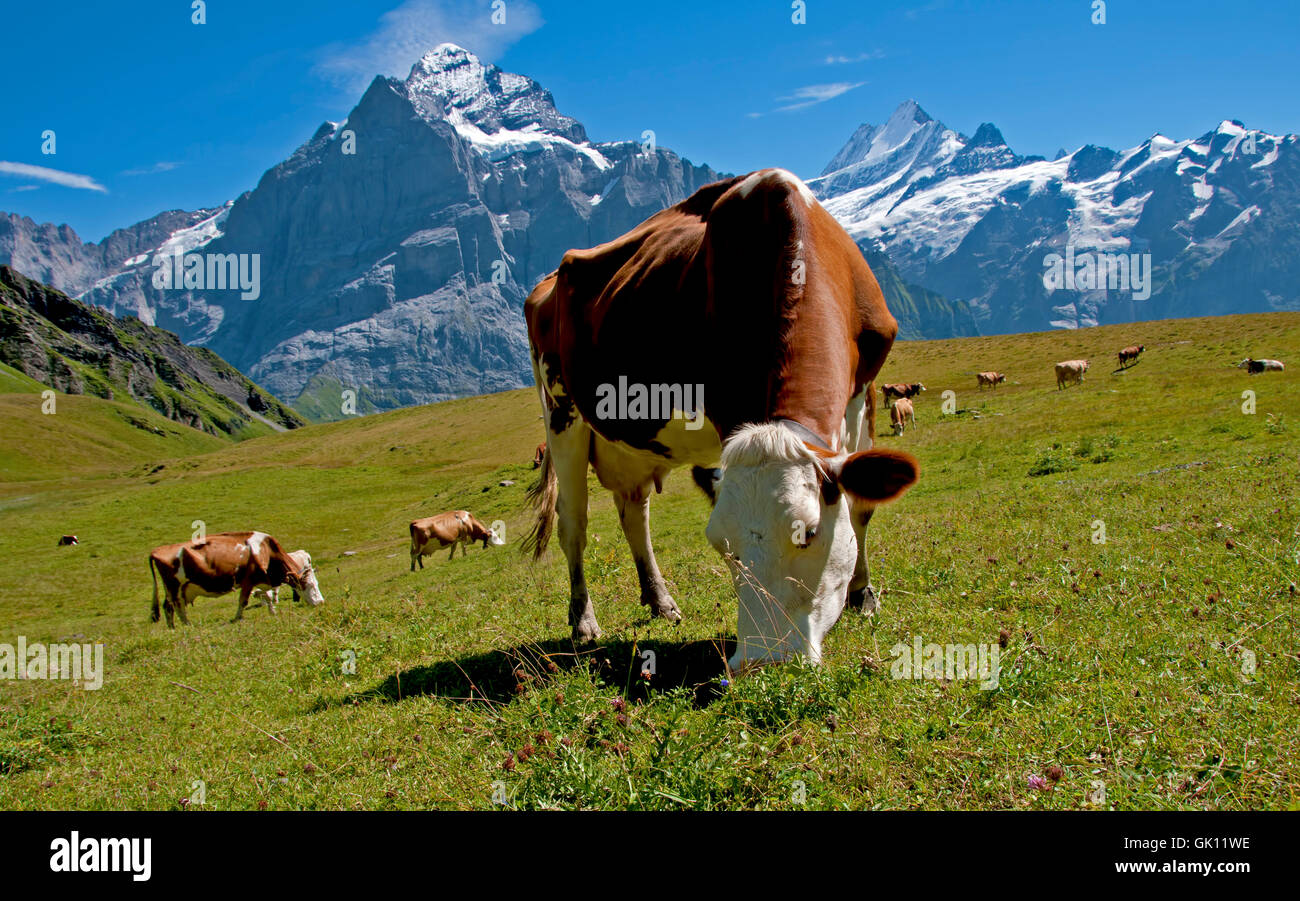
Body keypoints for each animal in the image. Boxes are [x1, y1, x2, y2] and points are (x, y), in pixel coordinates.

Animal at [149, 531, 313, 628]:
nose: (318, 602)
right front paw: (238, 618)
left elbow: (267, 596)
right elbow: (244, 601)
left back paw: (172, 628)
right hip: (175, 587)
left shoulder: (262, 579)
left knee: (167, 607)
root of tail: (157, 550)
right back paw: (188, 625)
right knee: (177, 607)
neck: (266, 549)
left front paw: (272, 612)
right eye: (309, 585)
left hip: (171, 590)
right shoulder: (249, 579)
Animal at [523, 168, 919, 673]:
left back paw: (660, 601)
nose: (765, 660)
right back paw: (584, 622)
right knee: (573, 524)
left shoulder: (864, 385)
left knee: (634, 512)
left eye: (809, 533)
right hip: (560, 411)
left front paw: (863, 594)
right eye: (722, 547)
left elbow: (862, 505)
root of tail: (549, 281)